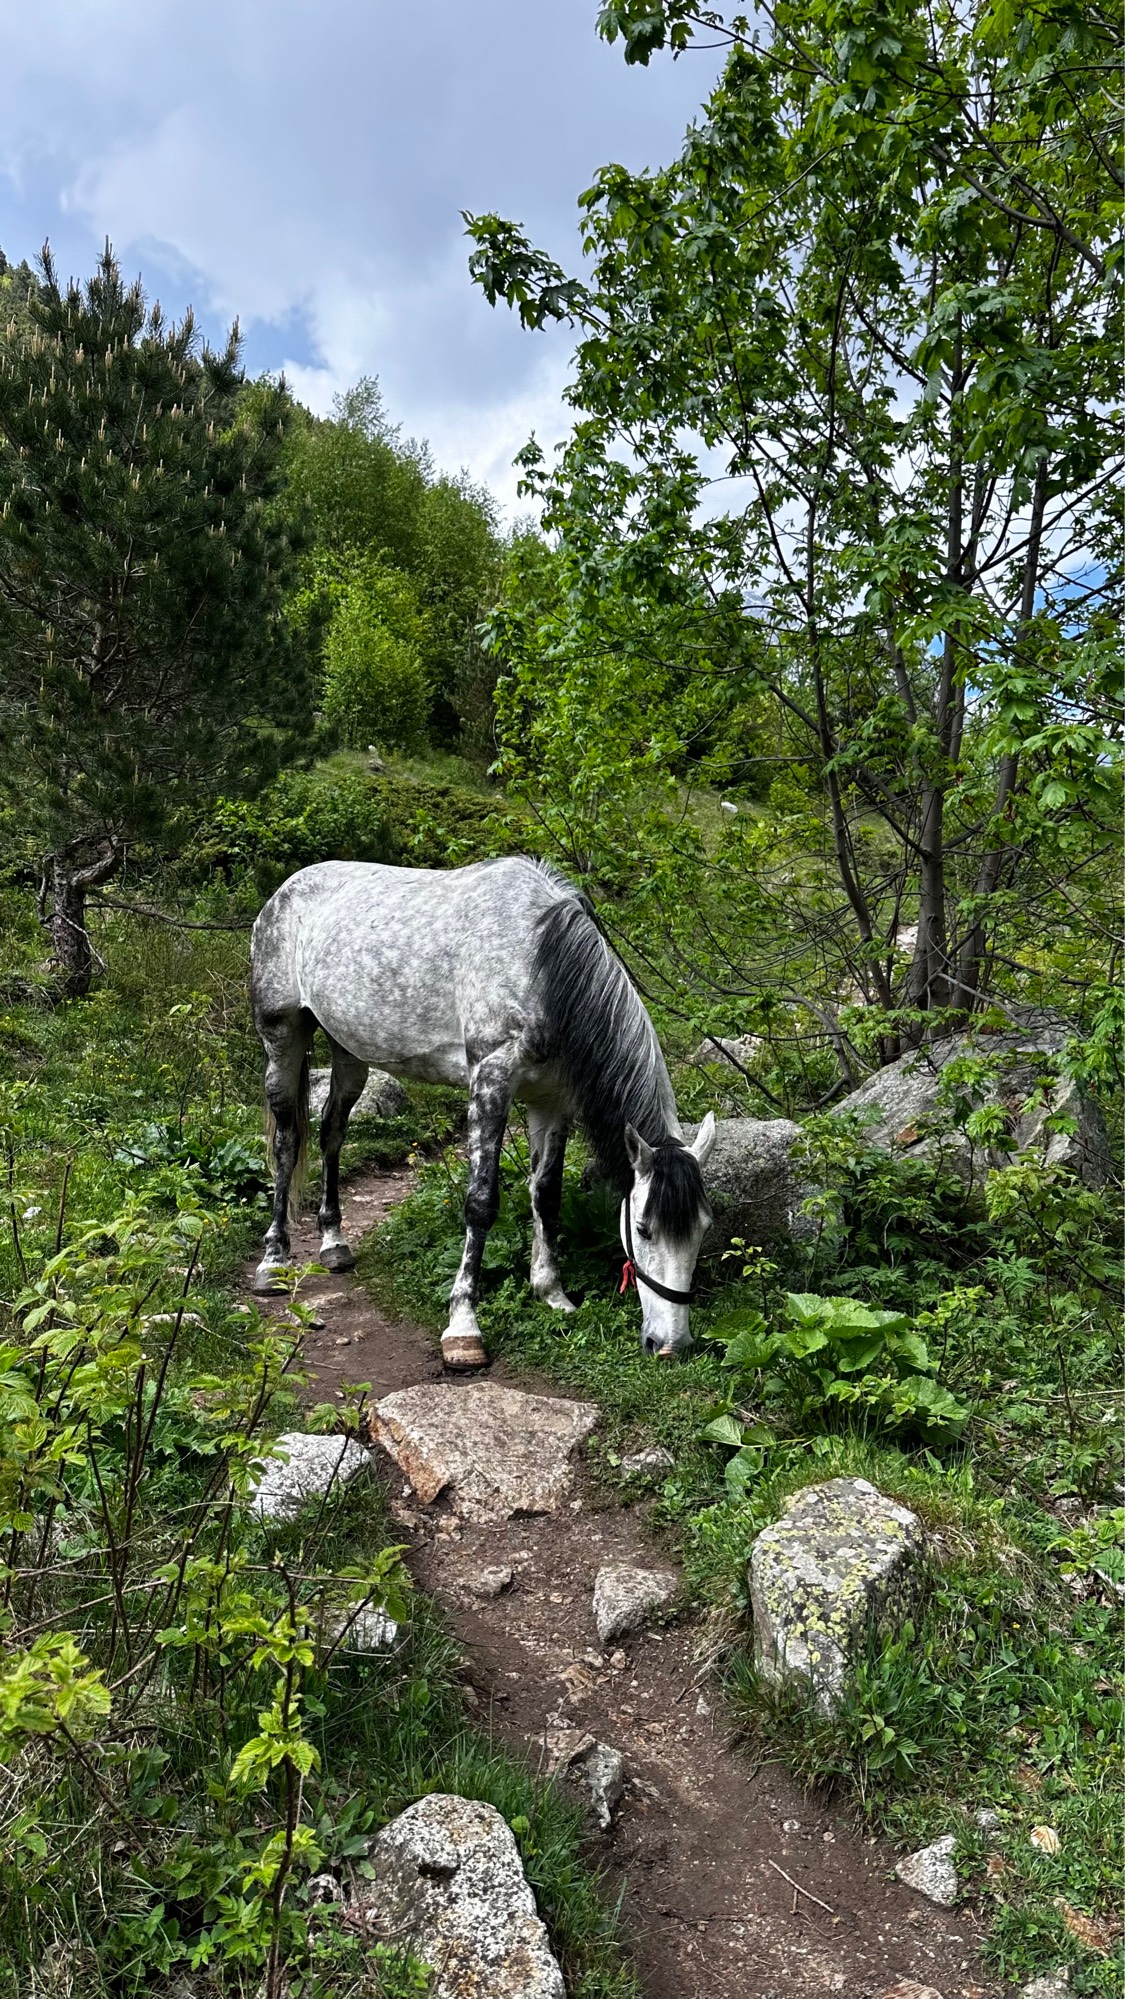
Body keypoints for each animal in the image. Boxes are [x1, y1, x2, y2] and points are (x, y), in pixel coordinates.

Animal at [250, 851, 719, 1367]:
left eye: (703, 1229)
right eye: (643, 1229)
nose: (671, 1345)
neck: (541, 963)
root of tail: (284, 891)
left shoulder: (552, 1100)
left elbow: (546, 1195)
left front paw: (552, 1293)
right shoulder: (491, 1080)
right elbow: (480, 1204)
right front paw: (463, 1325)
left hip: (348, 1049)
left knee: (332, 1131)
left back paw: (334, 1242)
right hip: (281, 1036)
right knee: (287, 1143)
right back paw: (273, 1261)